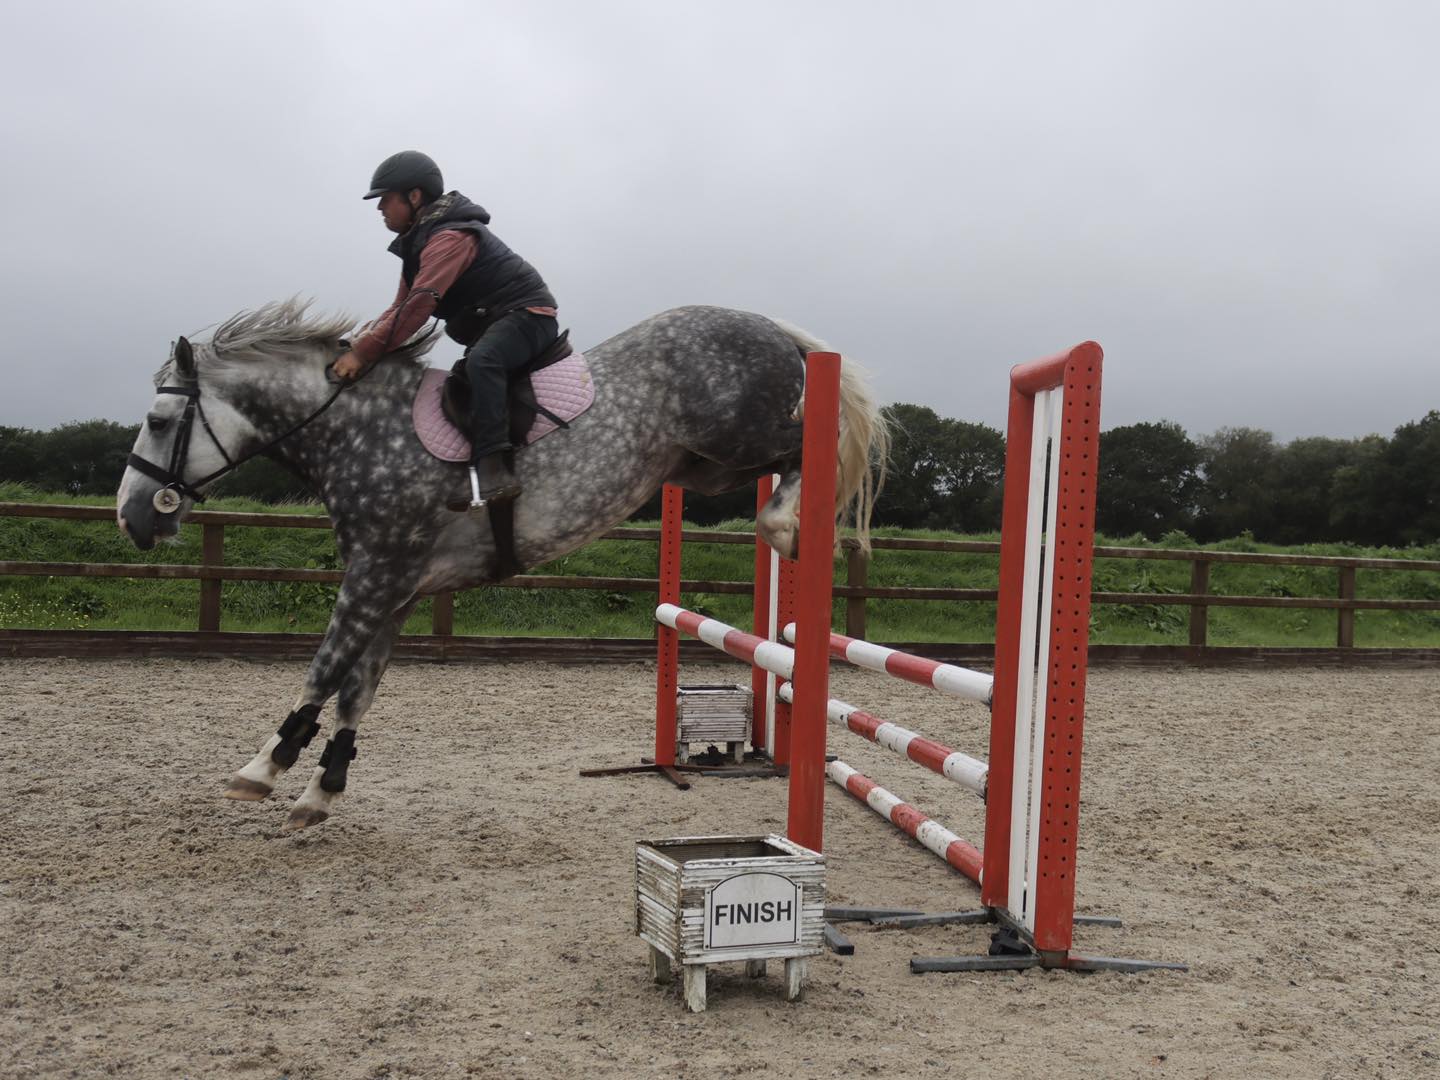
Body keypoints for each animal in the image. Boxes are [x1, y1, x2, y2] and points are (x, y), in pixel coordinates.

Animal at [116, 301, 889, 831]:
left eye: (157, 423)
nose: (132, 518)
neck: (360, 431)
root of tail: (770, 326)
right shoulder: (396, 587)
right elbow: (357, 690)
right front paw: (319, 791)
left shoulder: (375, 574)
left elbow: (324, 670)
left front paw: (262, 768)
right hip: (700, 466)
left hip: (736, 436)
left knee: (807, 448)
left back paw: (789, 526)